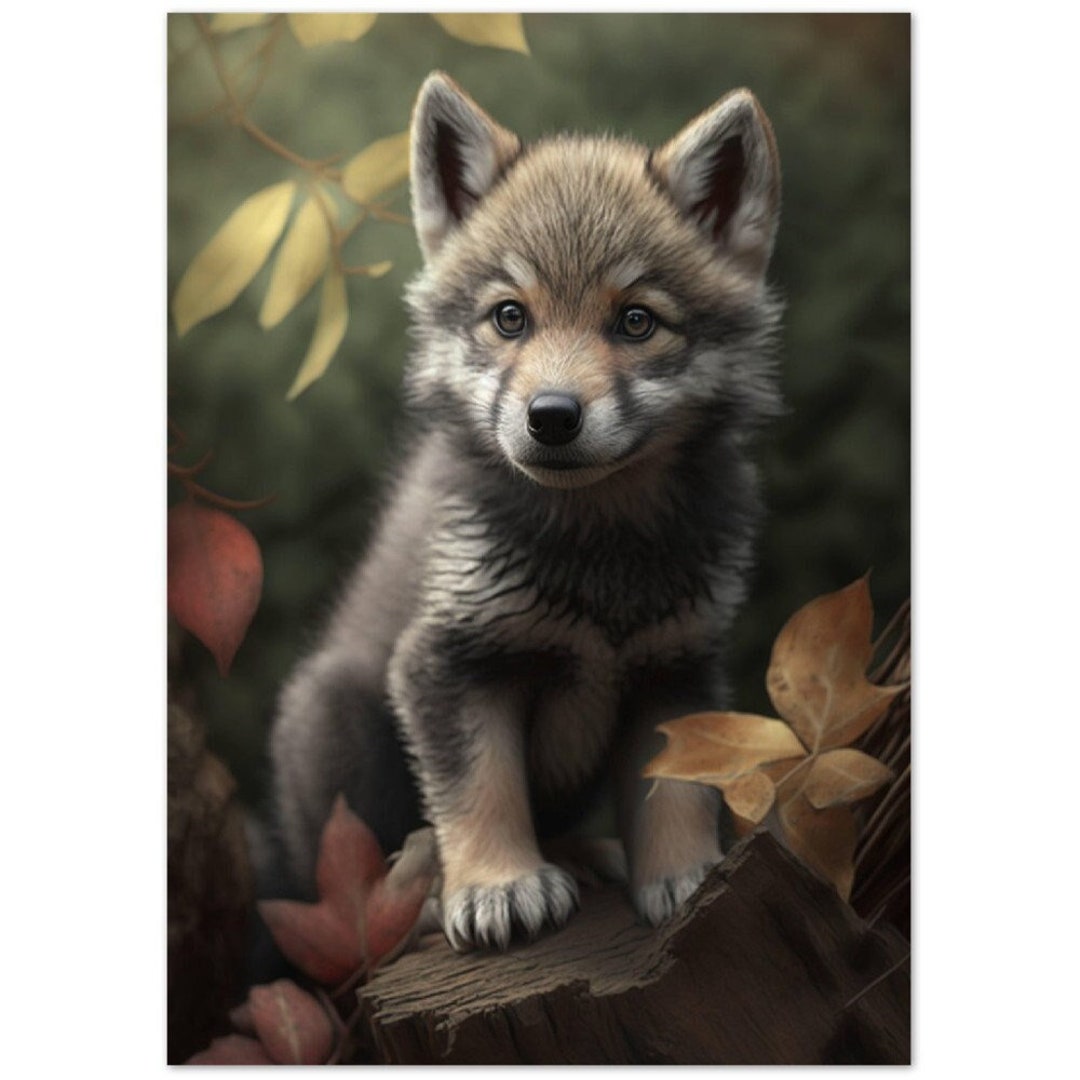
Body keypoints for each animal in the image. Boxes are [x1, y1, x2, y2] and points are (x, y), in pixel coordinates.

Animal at [268, 72, 783, 952]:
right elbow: (480, 788)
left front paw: (686, 878)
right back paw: (412, 903)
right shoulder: (446, 662)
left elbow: (675, 794)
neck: (599, 550)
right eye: (510, 316)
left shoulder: (676, 667)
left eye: (636, 321)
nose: (552, 417)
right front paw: (496, 887)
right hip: (336, 712)